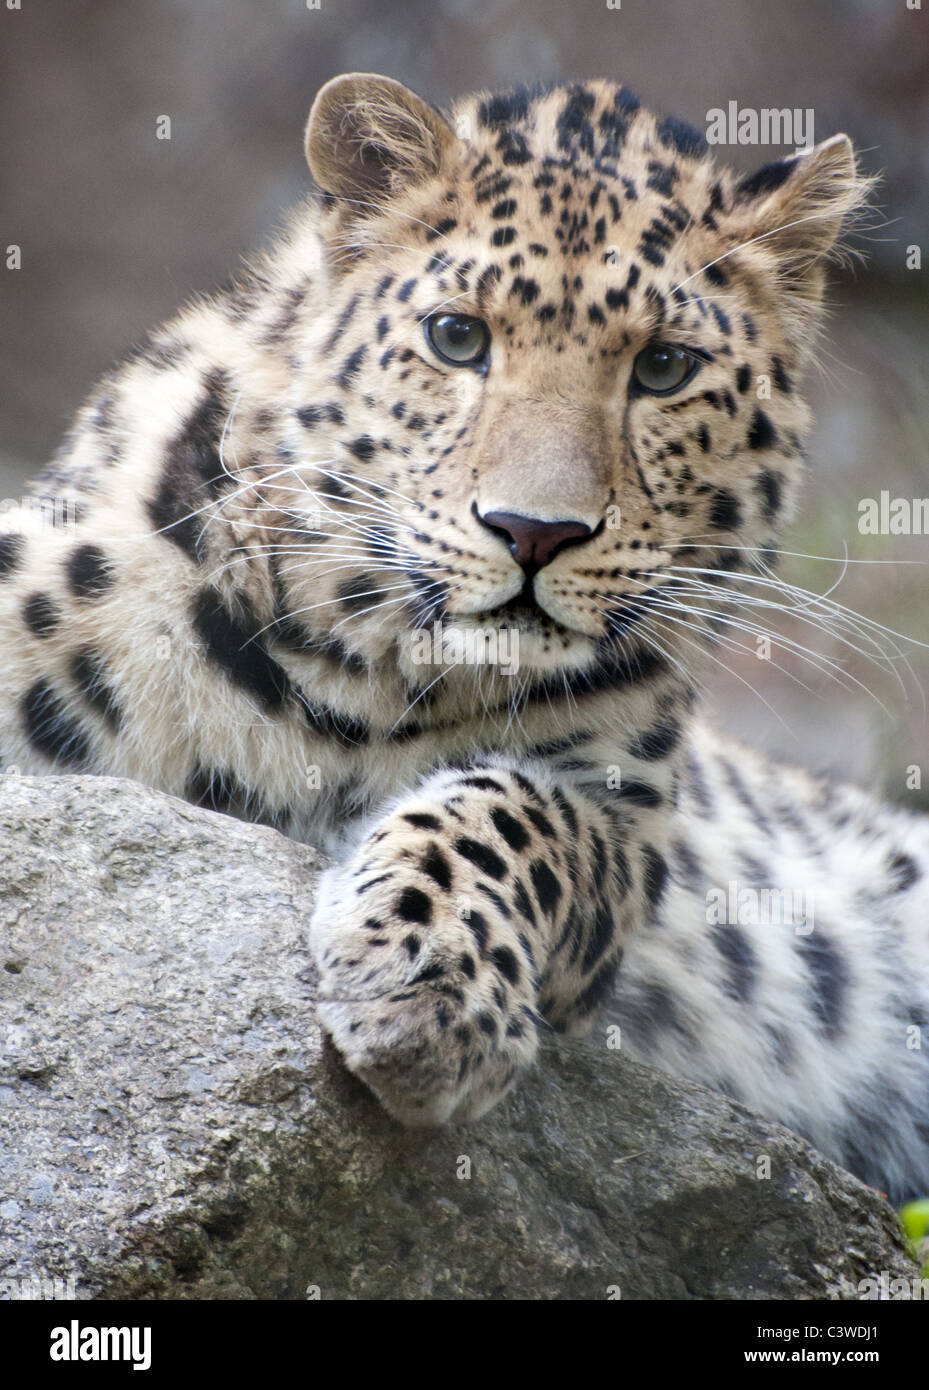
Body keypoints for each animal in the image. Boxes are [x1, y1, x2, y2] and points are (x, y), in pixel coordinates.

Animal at [1, 73, 927, 1206]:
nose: (535, 531)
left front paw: (426, 988)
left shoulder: (621, 826)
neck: (365, 684)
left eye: (664, 367)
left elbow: (508, 815)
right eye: (455, 339)